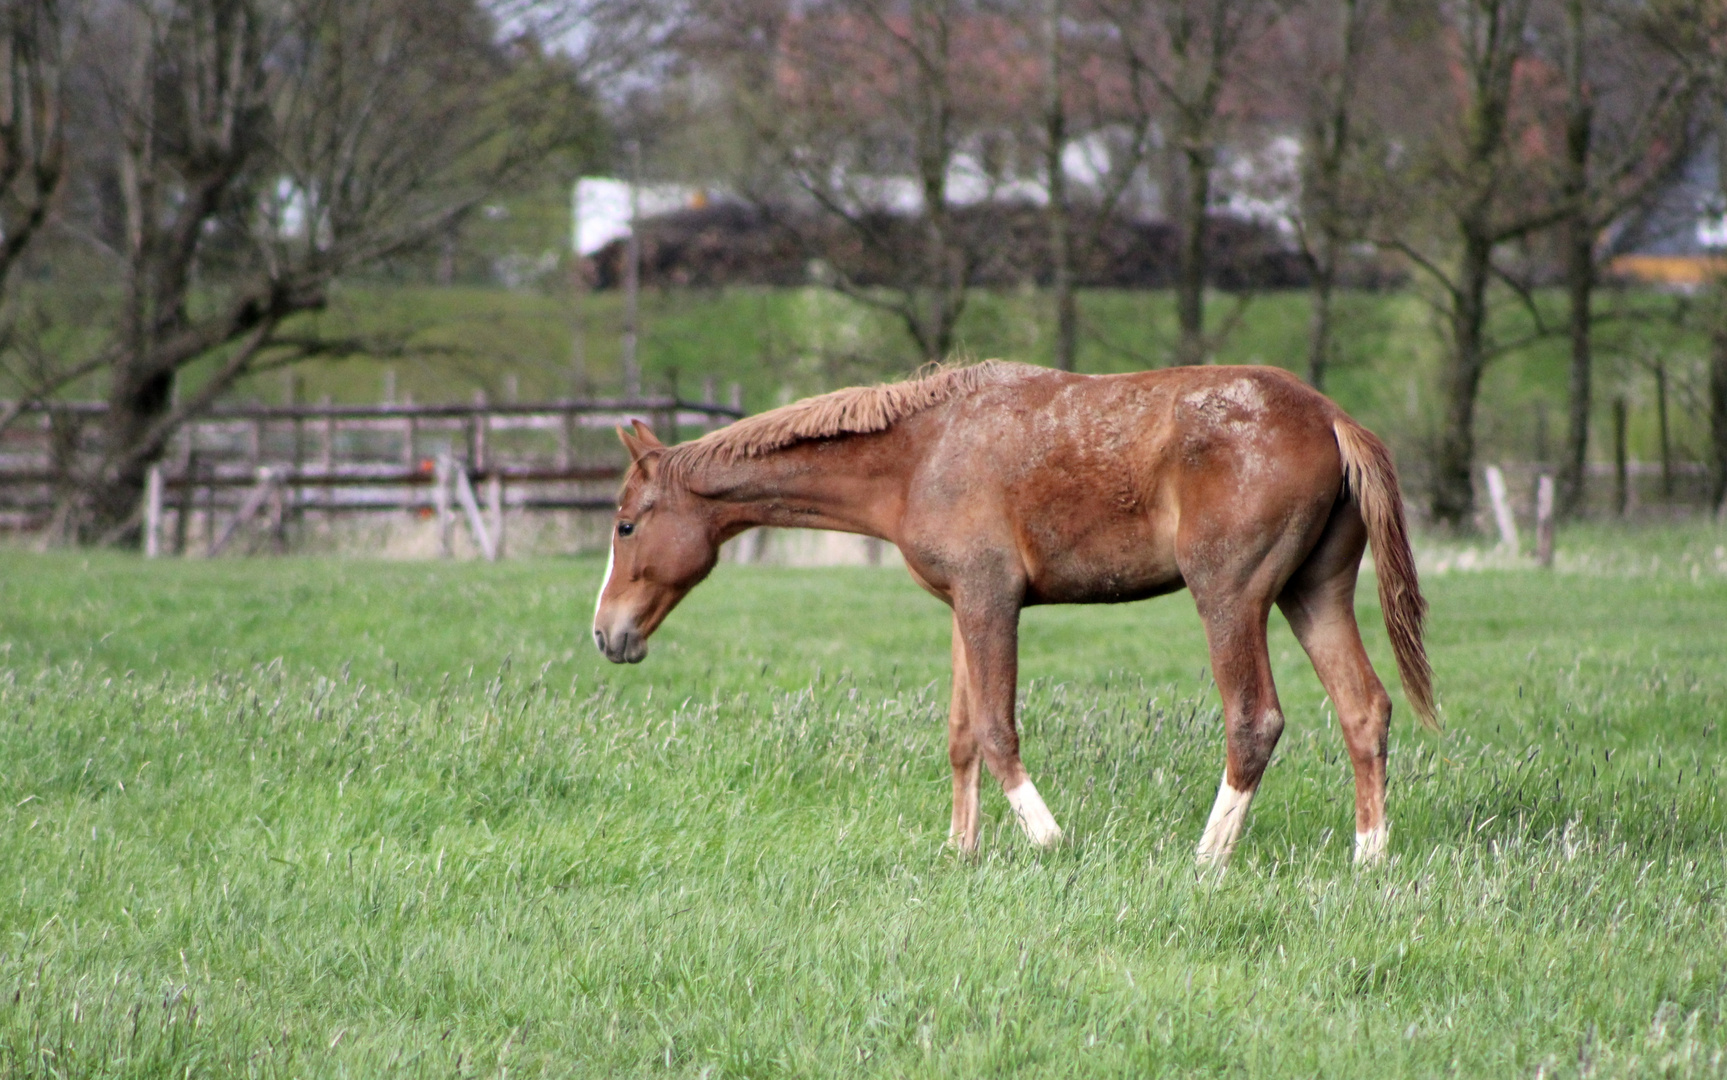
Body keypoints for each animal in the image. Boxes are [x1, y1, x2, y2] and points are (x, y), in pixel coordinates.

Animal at [590, 362, 1429, 867]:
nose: (606, 633)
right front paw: (959, 851)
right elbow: (962, 734)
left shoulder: (990, 599)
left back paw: (1206, 859)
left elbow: (996, 730)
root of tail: (1329, 418)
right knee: (1364, 709)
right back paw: (1368, 856)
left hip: (1229, 597)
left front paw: (1049, 839)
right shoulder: (962, 605)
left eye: (626, 525)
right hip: (1311, 594)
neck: (918, 455)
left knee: (1254, 720)